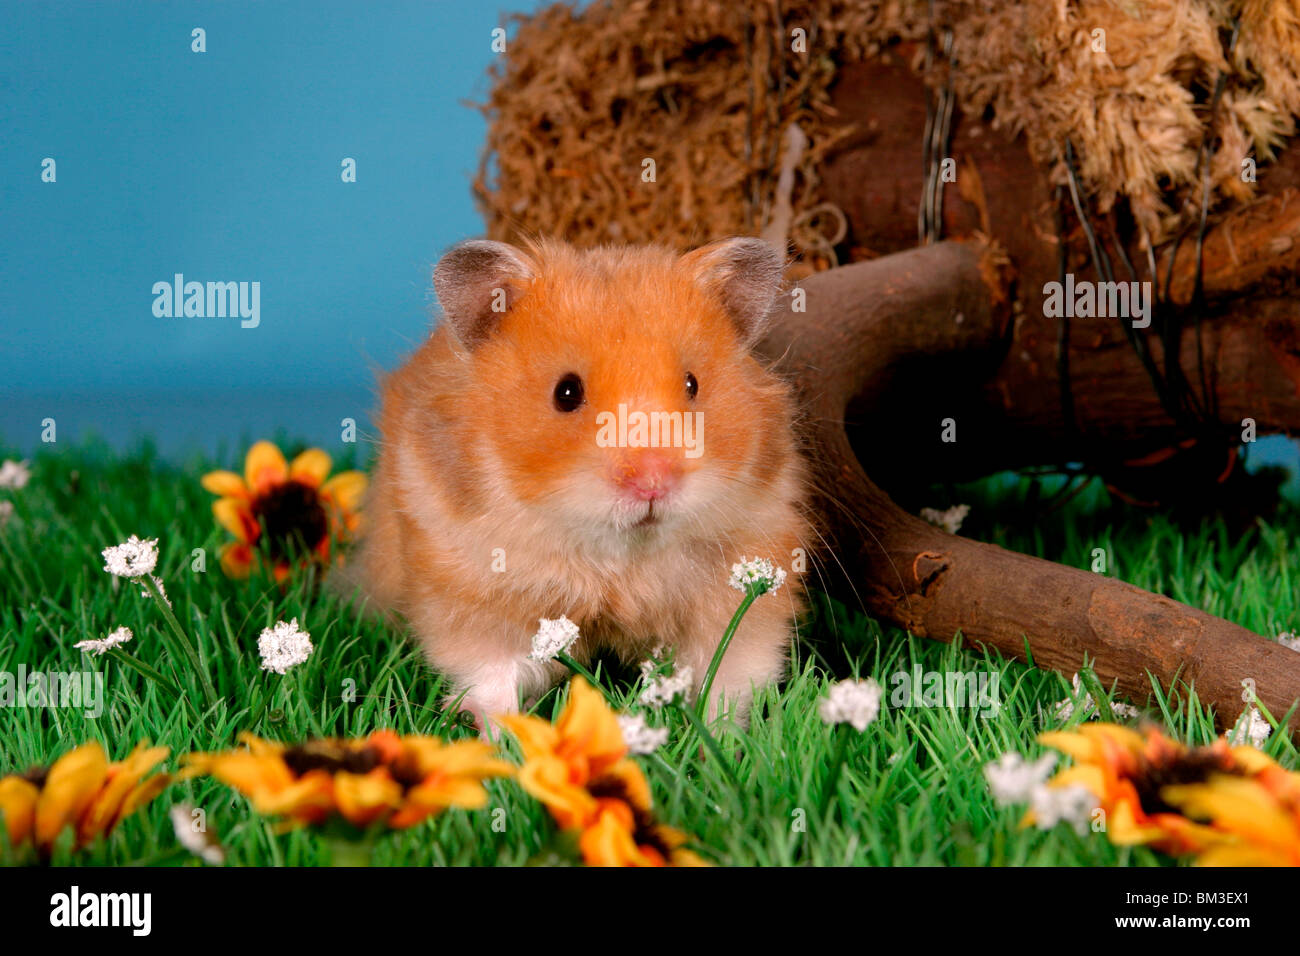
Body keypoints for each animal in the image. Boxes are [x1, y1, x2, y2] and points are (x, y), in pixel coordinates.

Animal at [356, 236, 810, 727]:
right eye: (566, 392)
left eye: (692, 384)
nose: (653, 482)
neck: (618, 555)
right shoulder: (468, 592)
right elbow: (491, 678)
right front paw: (500, 737)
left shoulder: (744, 584)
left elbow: (726, 677)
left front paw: (721, 738)